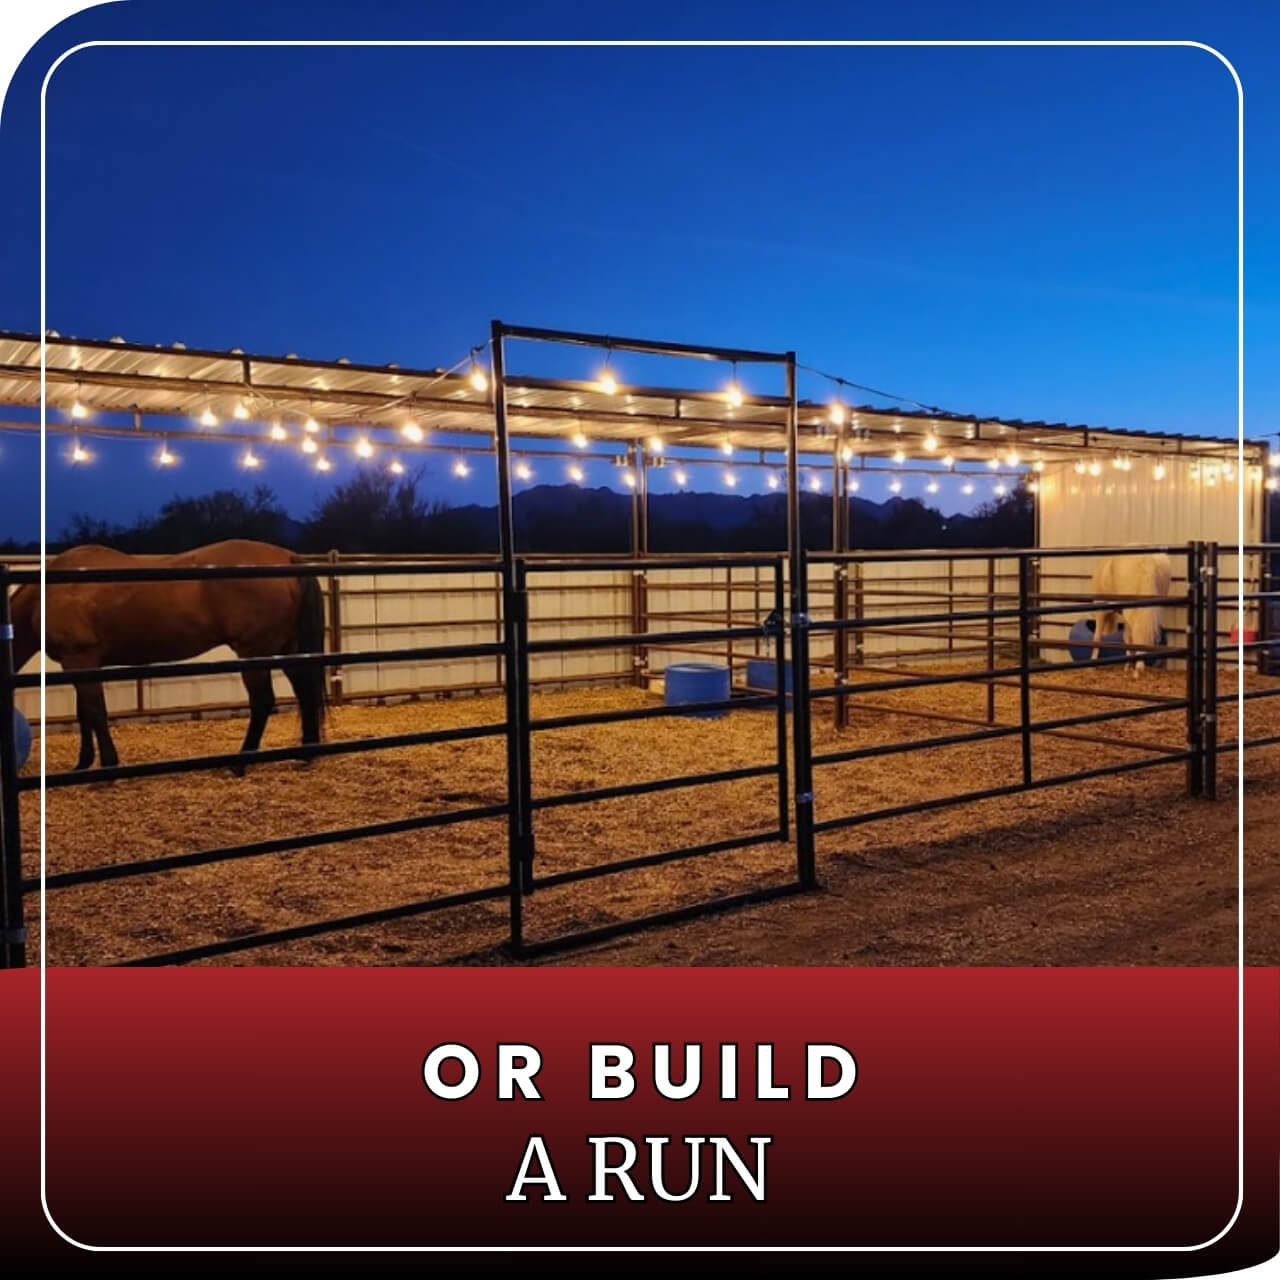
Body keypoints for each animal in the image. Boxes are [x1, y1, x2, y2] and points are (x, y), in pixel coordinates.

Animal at [8, 539, 327, 771]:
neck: (49, 593)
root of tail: (287, 558)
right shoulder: (77, 664)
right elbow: (84, 713)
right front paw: (83, 763)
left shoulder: (80, 658)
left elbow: (95, 711)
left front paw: (108, 766)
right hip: (287, 648)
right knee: (304, 691)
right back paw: (307, 754)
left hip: (254, 653)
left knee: (263, 703)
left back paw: (240, 763)